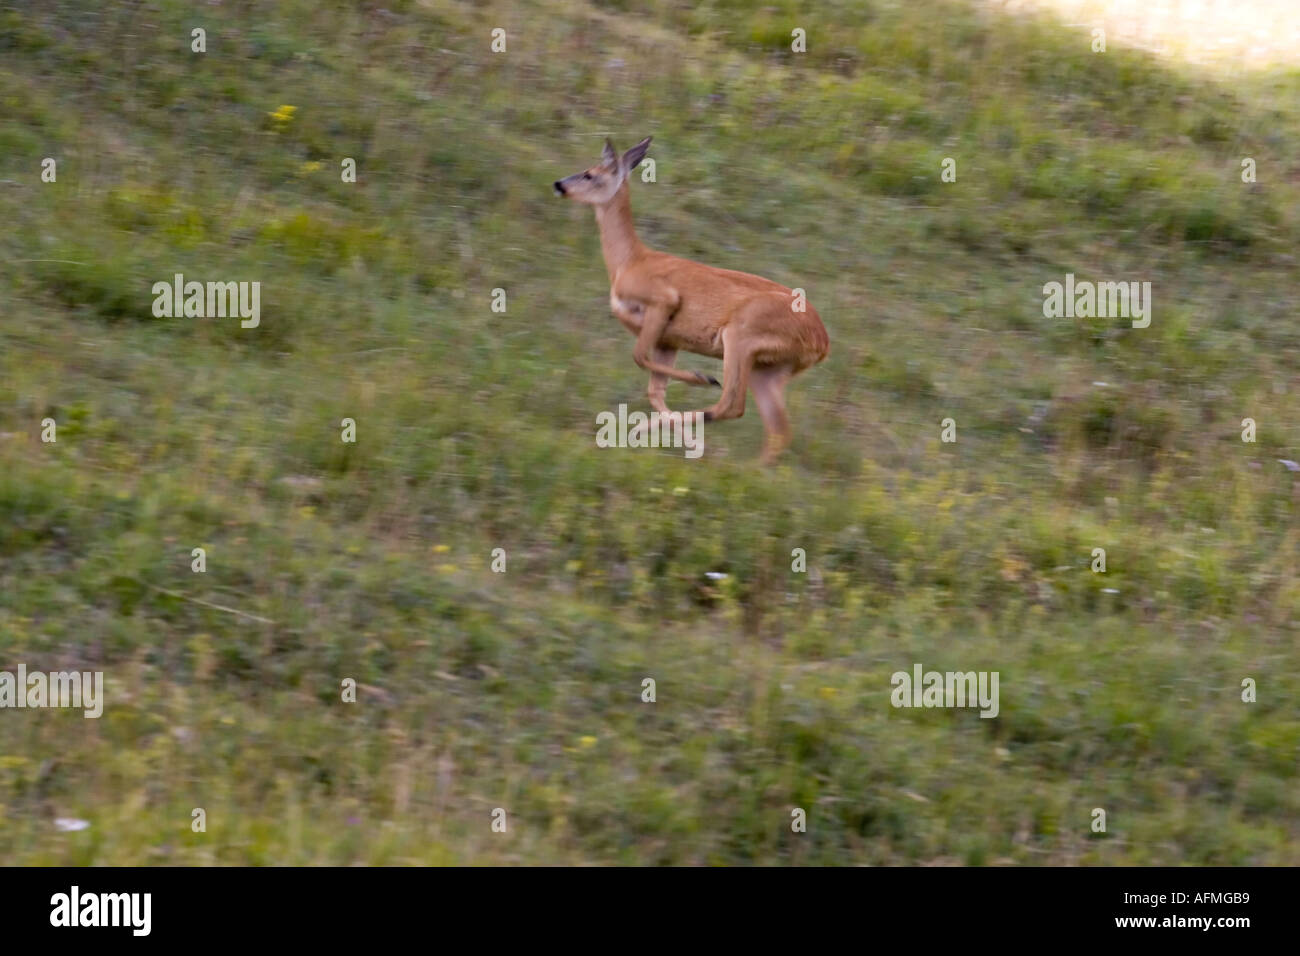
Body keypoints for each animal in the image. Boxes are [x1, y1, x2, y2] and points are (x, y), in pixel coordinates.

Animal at [554, 136, 829, 464]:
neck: (628, 263)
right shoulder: (669, 341)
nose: (559, 184)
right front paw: (685, 436)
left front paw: (699, 380)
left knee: (733, 405)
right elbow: (655, 390)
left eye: (590, 174)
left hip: (742, 335)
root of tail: (822, 342)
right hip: (769, 369)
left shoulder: (664, 300)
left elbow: (639, 357)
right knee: (778, 430)